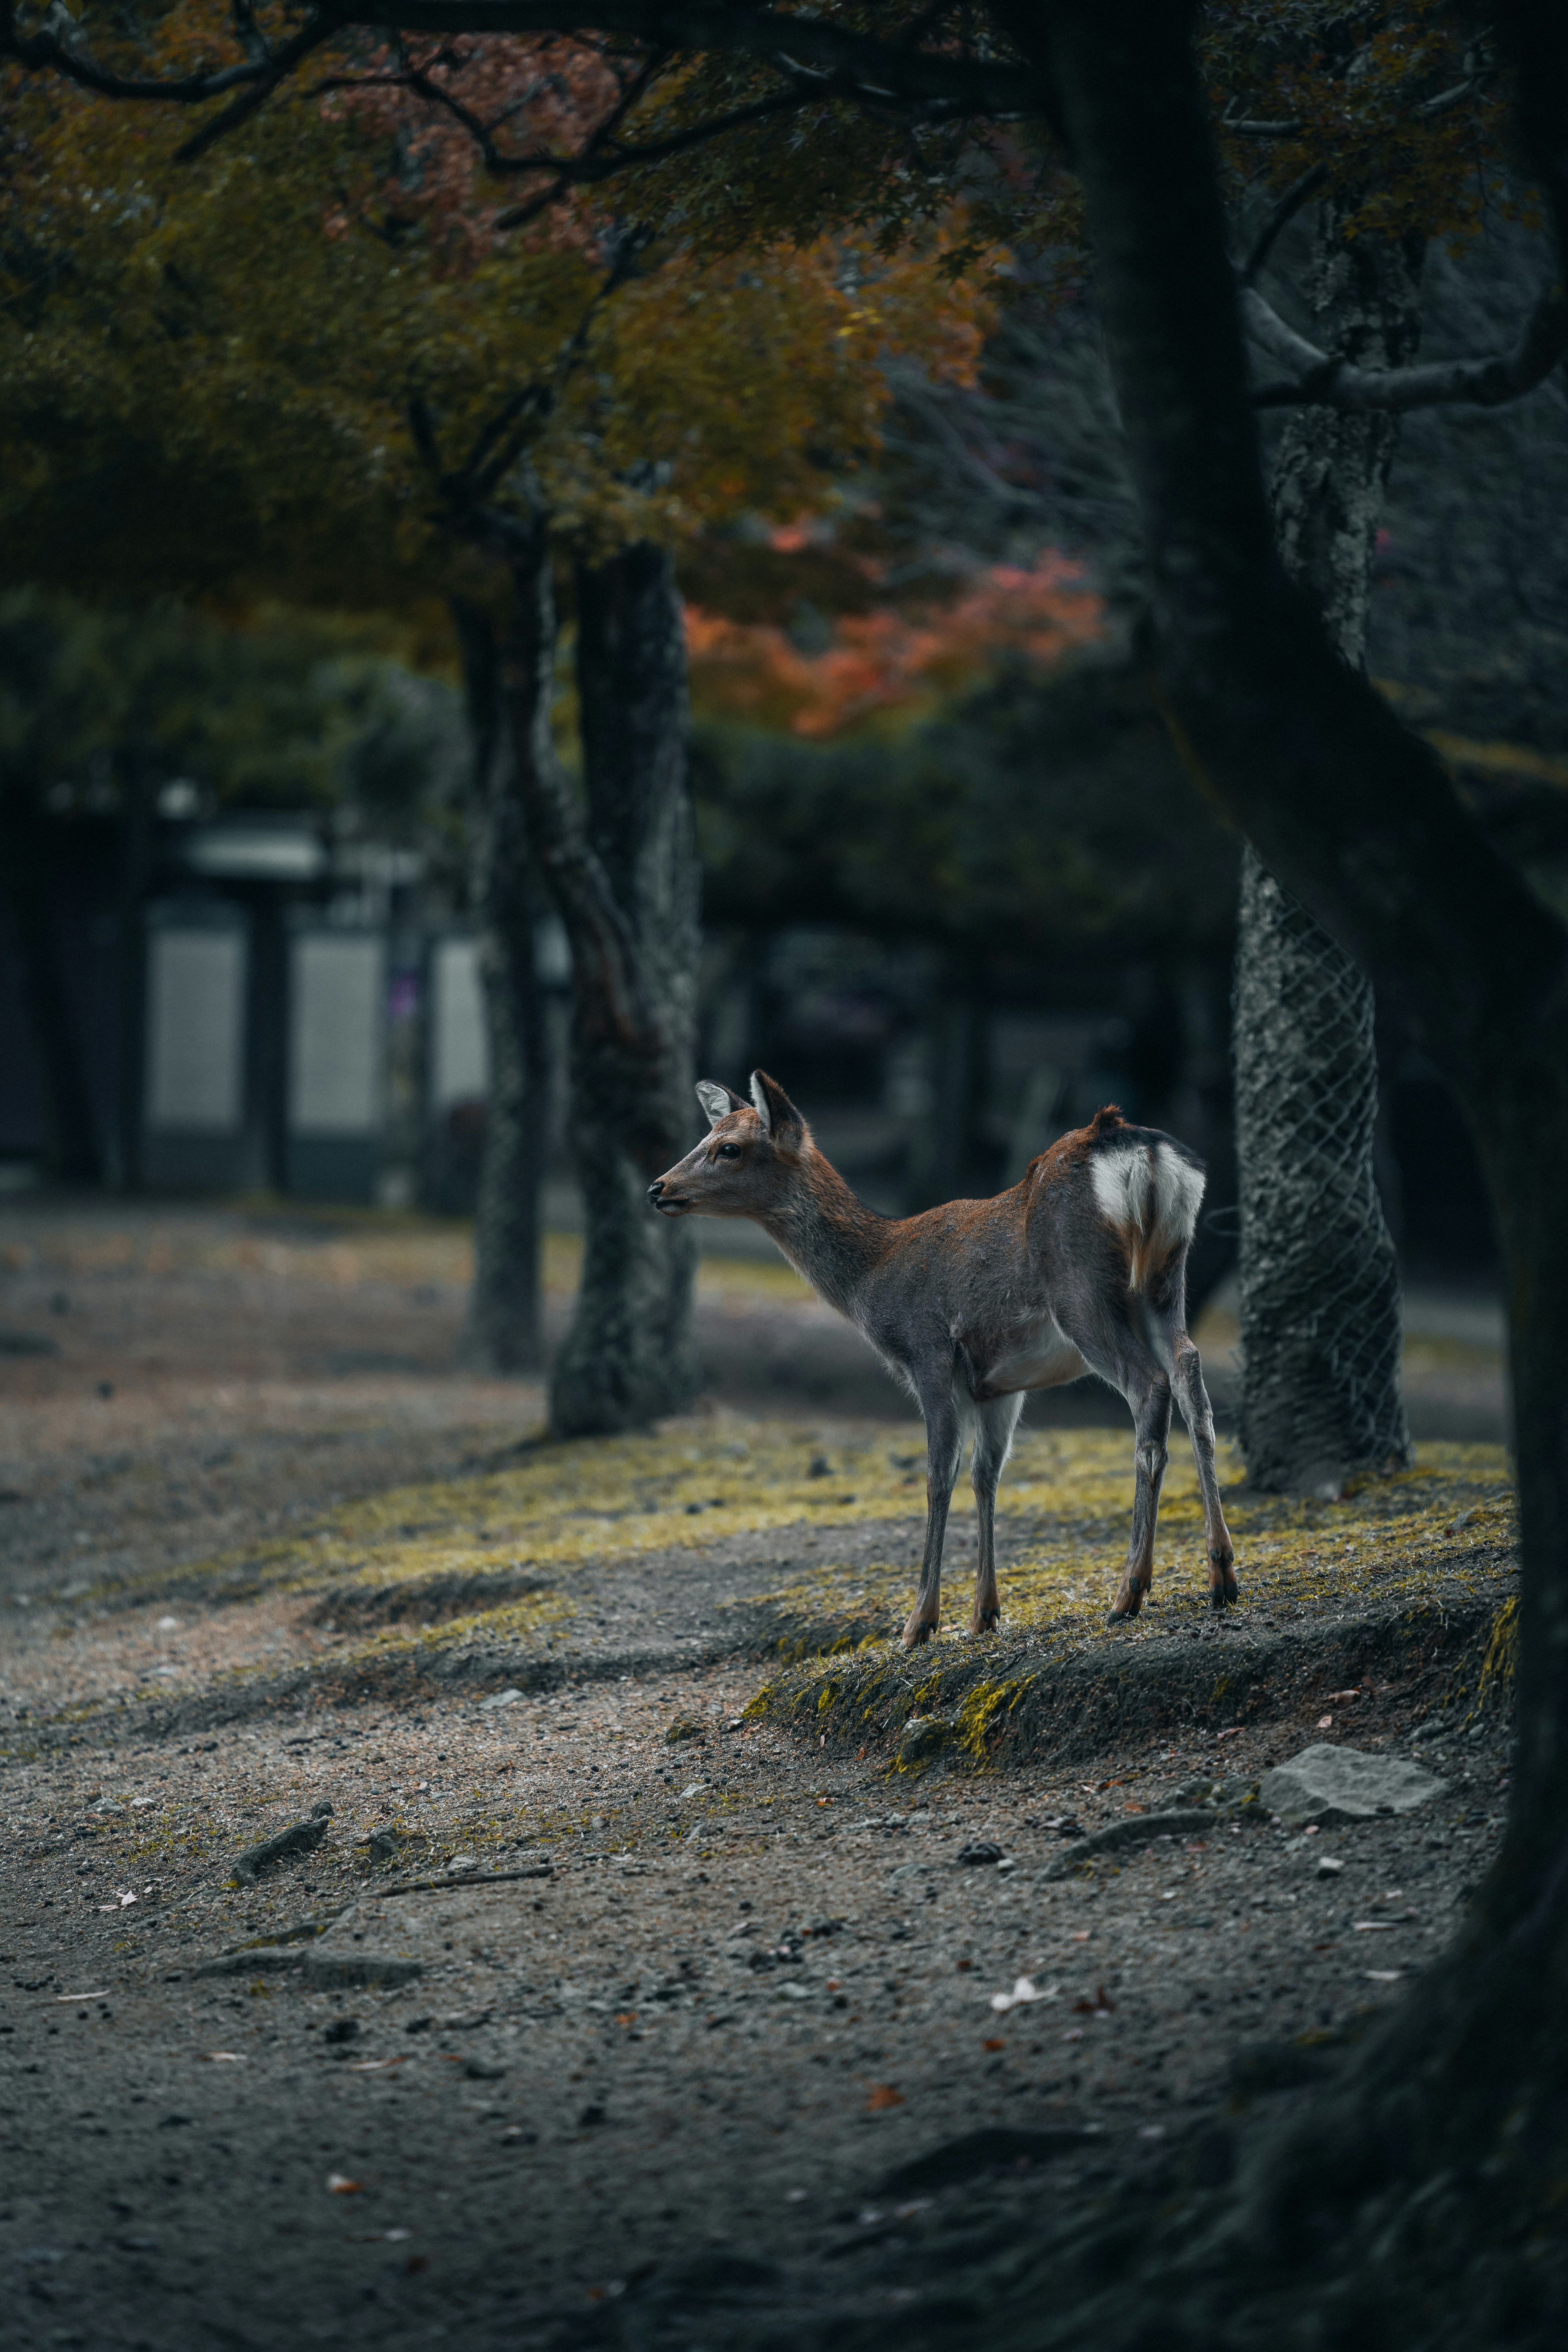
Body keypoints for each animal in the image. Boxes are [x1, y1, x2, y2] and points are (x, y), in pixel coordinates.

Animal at [648, 1071, 1235, 1648]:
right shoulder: (998, 1386)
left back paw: (1129, 1592)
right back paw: (1221, 1572)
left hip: (1081, 1290)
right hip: (1164, 1279)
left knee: (1148, 1385)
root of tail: (1145, 1153)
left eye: (729, 1148)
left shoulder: (928, 1352)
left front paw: (919, 1624)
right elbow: (986, 1475)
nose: (659, 1188)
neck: (873, 1277)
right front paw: (984, 1614)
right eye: (707, 1135)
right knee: (1189, 1373)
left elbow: (939, 1475)